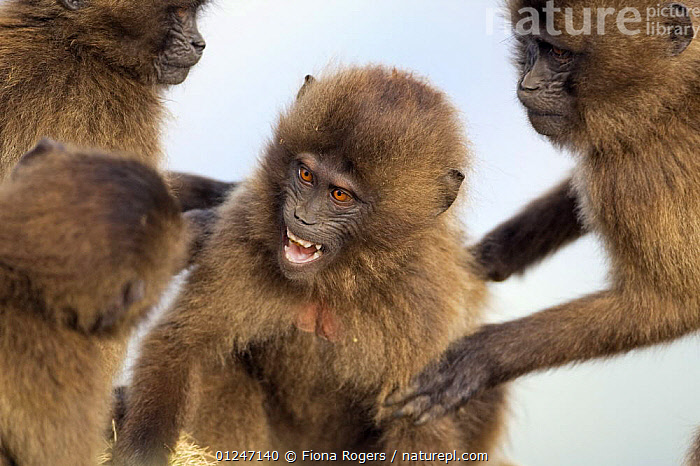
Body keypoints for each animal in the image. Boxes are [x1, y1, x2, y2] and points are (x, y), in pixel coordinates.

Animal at [112, 66, 514, 465]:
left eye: (340, 195)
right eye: (306, 175)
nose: (302, 217)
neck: (335, 282)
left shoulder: (424, 300)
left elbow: (415, 422)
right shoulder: (242, 233)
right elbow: (182, 346)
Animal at [386, 0, 700, 444]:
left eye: (561, 54)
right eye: (533, 45)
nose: (528, 85)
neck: (671, 96)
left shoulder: (638, 175)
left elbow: (675, 304)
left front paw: (483, 356)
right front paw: (490, 256)